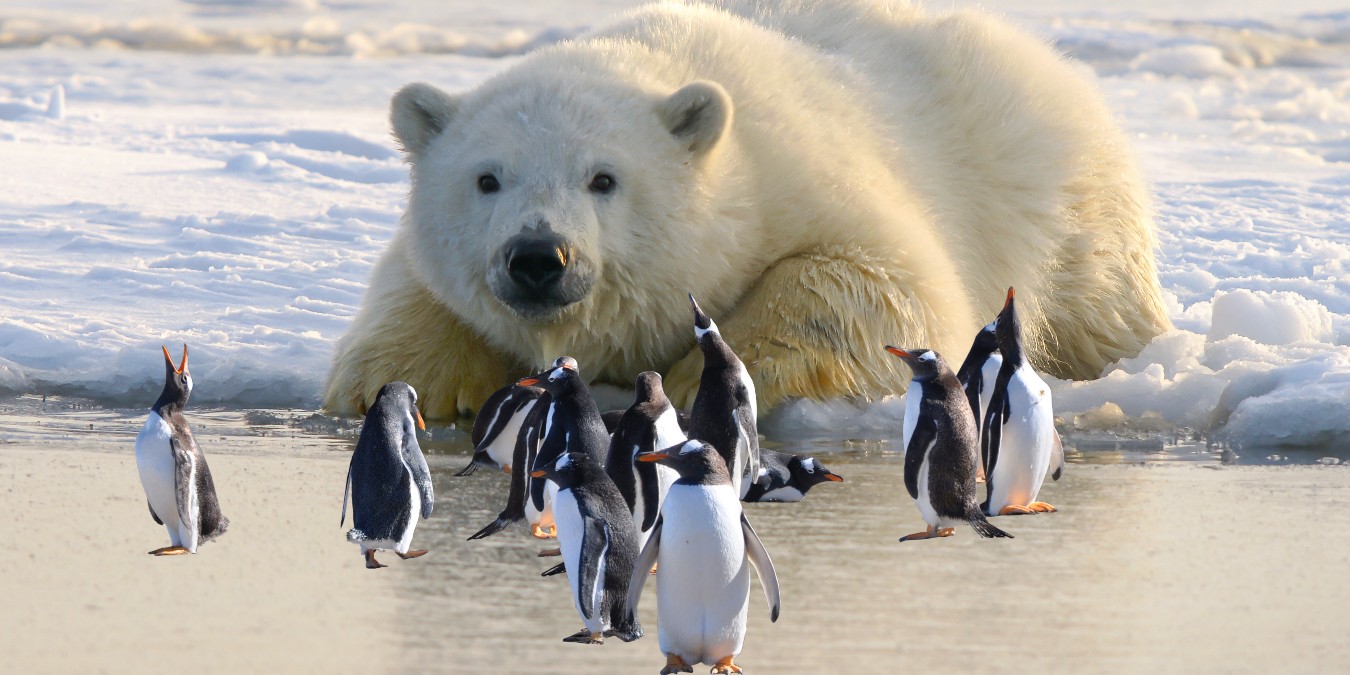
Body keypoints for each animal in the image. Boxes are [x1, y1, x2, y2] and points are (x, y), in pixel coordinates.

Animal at [324, 0, 1171, 420]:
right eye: (487, 179)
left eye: (603, 179)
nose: (539, 257)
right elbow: (415, 288)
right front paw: (398, 385)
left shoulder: (803, 175)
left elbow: (885, 283)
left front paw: (704, 377)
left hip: (1052, 186)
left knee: (1096, 296)